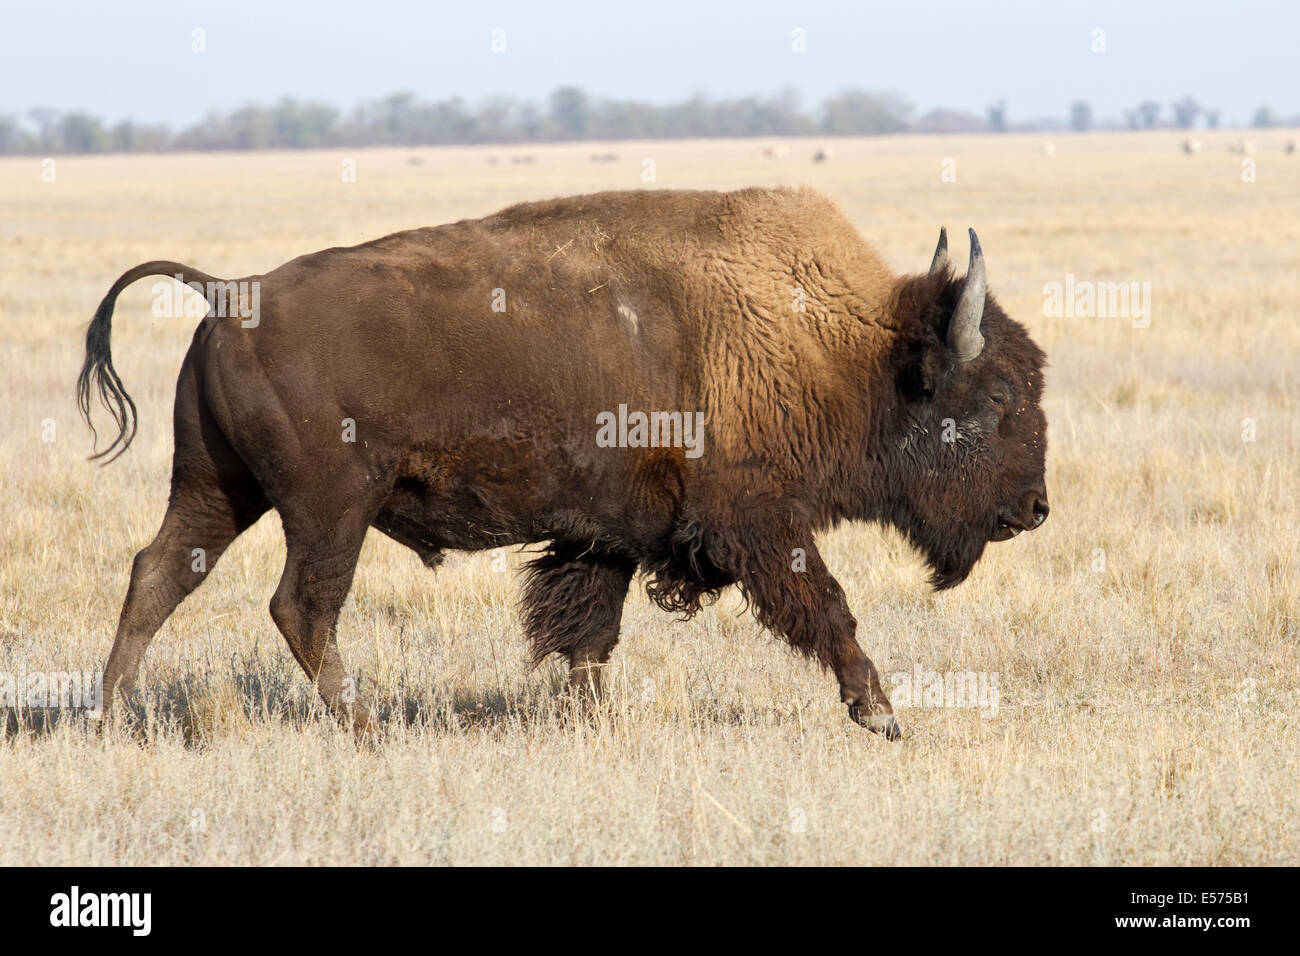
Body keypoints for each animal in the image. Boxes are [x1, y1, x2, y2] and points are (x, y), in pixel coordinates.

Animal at [78, 187, 1049, 739]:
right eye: (997, 398)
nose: (1035, 509)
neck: (835, 344)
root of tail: (226, 294)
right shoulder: (761, 523)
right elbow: (828, 608)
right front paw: (882, 716)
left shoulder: (609, 536)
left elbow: (588, 633)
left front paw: (588, 723)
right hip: (329, 508)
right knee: (301, 607)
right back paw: (365, 728)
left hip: (217, 489)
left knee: (157, 574)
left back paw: (110, 719)